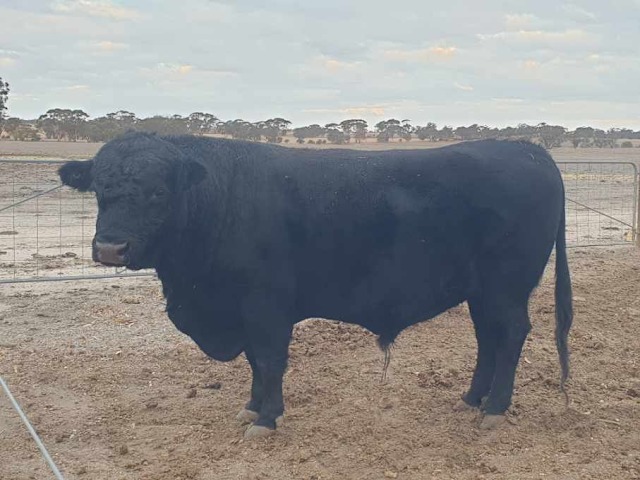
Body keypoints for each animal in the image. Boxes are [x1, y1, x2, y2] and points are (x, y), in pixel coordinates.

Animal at [59, 132, 573, 439]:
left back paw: (494, 410)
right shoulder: (244, 310)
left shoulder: (264, 305)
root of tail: (524, 146)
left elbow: (268, 361)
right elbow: (254, 362)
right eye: (100, 190)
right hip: (482, 291)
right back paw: (472, 400)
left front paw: (267, 419)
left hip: (506, 287)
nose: (110, 248)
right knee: (488, 338)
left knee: (511, 335)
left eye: (158, 192)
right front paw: (252, 408)